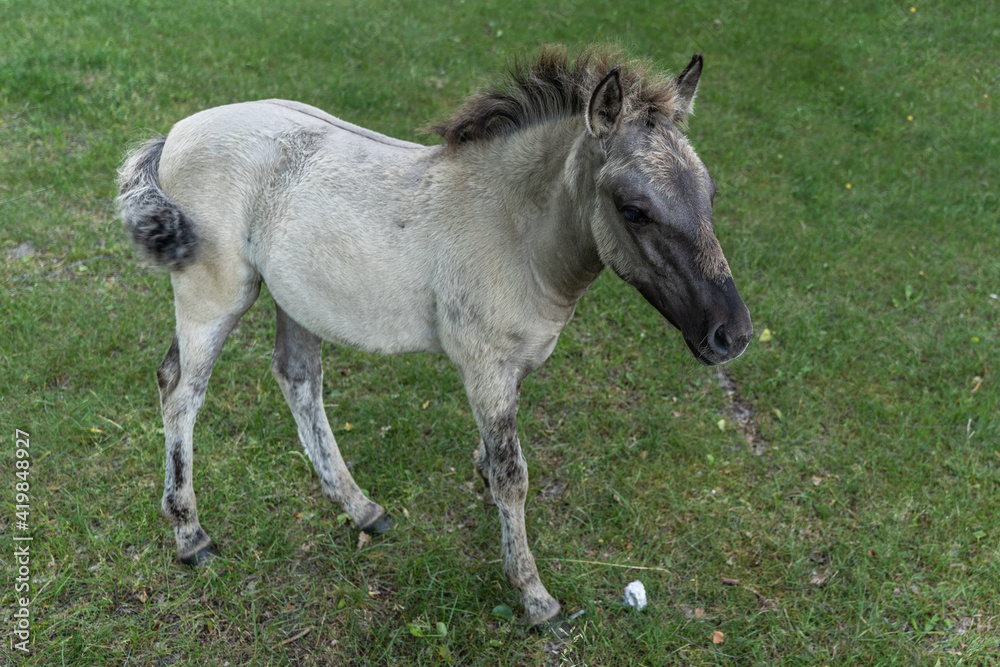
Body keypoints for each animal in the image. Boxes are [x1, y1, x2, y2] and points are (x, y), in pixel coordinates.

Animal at [117, 46, 752, 629]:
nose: (734, 335)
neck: (515, 231)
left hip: (296, 297)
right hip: (213, 295)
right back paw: (191, 536)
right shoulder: (485, 368)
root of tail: (176, 133)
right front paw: (535, 596)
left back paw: (360, 508)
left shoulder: (511, 370)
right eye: (634, 208)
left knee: (296, 378)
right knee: (181, 389)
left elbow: (495, 461)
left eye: (711, 193)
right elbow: (514, 478)